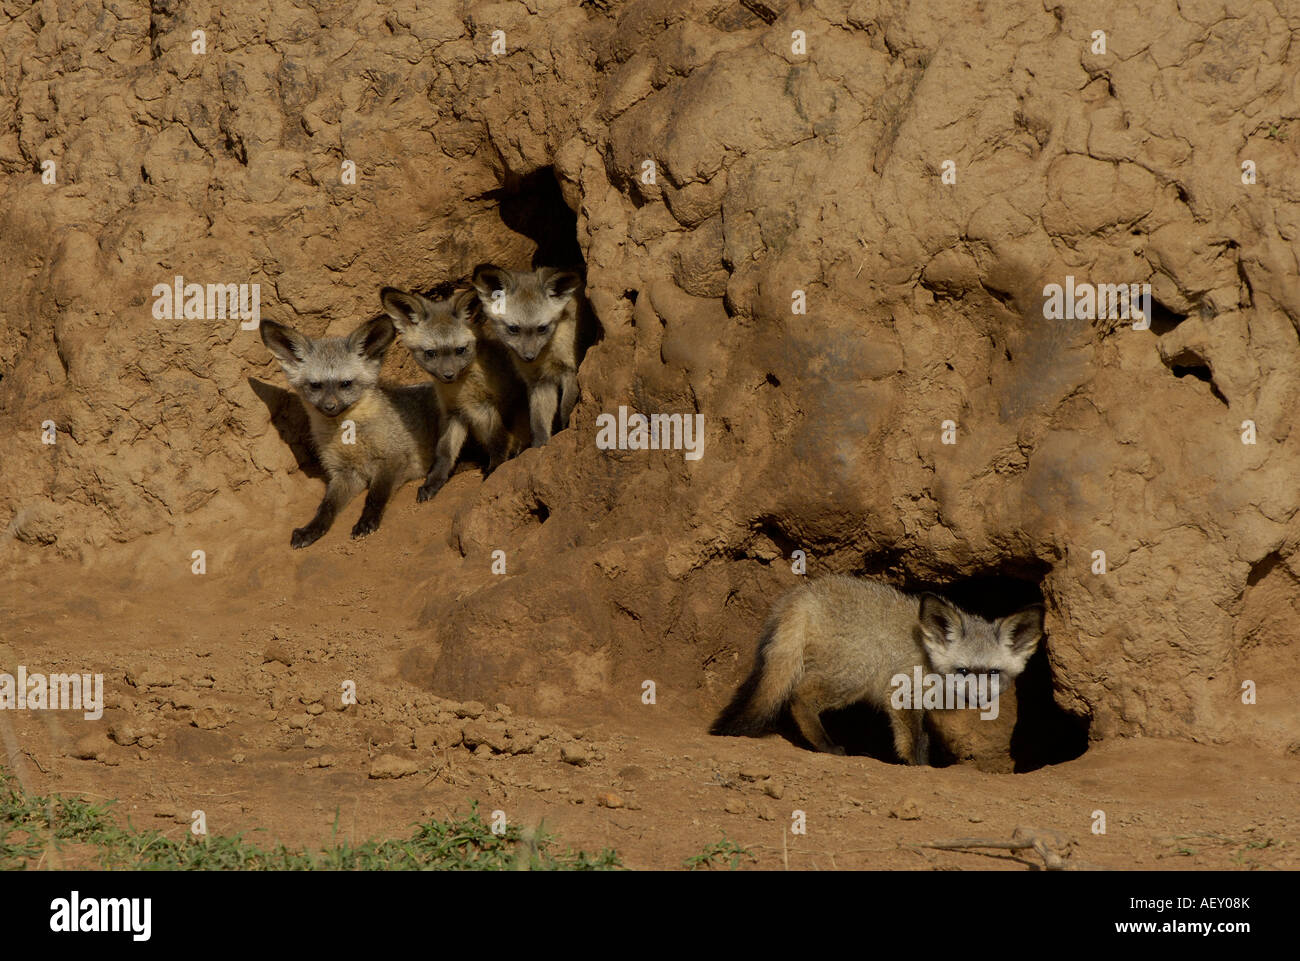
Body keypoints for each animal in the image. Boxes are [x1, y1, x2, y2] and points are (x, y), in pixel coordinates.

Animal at [259, 316, 438, 548]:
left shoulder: (393, 459)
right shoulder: (345, 473)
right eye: (315, 385)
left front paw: (367, 522)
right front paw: (312, 529)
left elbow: (375, 497)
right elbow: (326, 506)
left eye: (345, 384)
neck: (351, 442)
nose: (329, 407)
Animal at [380, 285, 530, 500]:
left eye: (460, 350)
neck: (463, 392)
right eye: (431, 353)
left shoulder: (490, 406)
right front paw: (433, 482)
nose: (448, 375)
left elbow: (498, 440)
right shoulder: (454, 413)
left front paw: (495, 468)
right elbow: (444, 452)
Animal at [471, 264, 583, 447]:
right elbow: (538, 420)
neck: (547, 355)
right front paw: (539, 445)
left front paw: (567, 428)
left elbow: (567, 407)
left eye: (542, 328)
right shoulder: (540, 382)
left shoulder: (571, 370)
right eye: (513, 329)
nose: (529, 357)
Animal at [710, 576, 1045, 764]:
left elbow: (922, 740)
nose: (979, 699)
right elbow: (912, 743)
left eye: (993, 673)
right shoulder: (900, 693)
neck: (928, 657)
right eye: (962, 671)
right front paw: (917, 768)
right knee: (799, 697)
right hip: (857, 673)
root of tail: (806, 595)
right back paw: (826, 745)